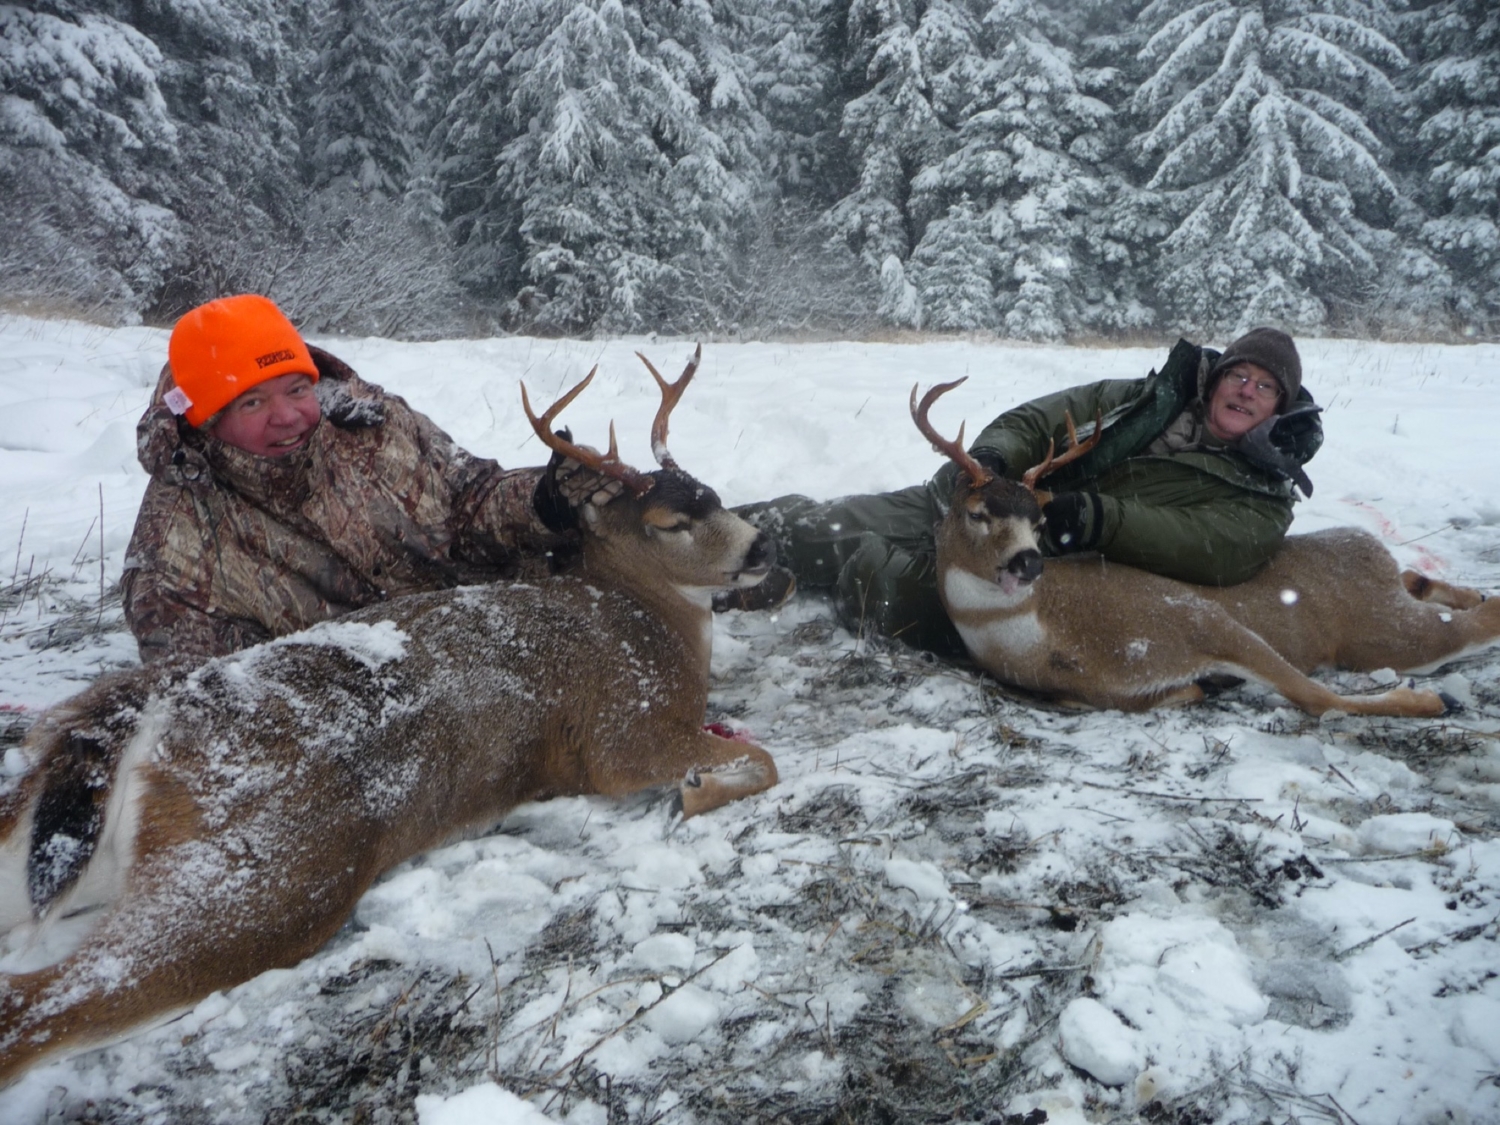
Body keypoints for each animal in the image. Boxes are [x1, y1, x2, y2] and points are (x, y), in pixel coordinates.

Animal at [0, 348, 778, 1086]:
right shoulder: (622, 727)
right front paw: (699, 789)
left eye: (716, 493)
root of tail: (154, 710)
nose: (762, 546)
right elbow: (762, 758)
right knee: (37, 1005)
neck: (653, 621)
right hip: (267, 872)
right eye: (671, 522)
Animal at [911, 378, 1500, 717]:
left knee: (1469, 623)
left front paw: (1431, 699)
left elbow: (1317, 698)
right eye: (977, 513)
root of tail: (1367, 545)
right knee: (1419, 581)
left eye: (1038, 522)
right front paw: (1205, 687)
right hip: (1387, 601)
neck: (1047, 633)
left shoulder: (1200, 615)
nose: (1029, 562)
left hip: (1377, 630)